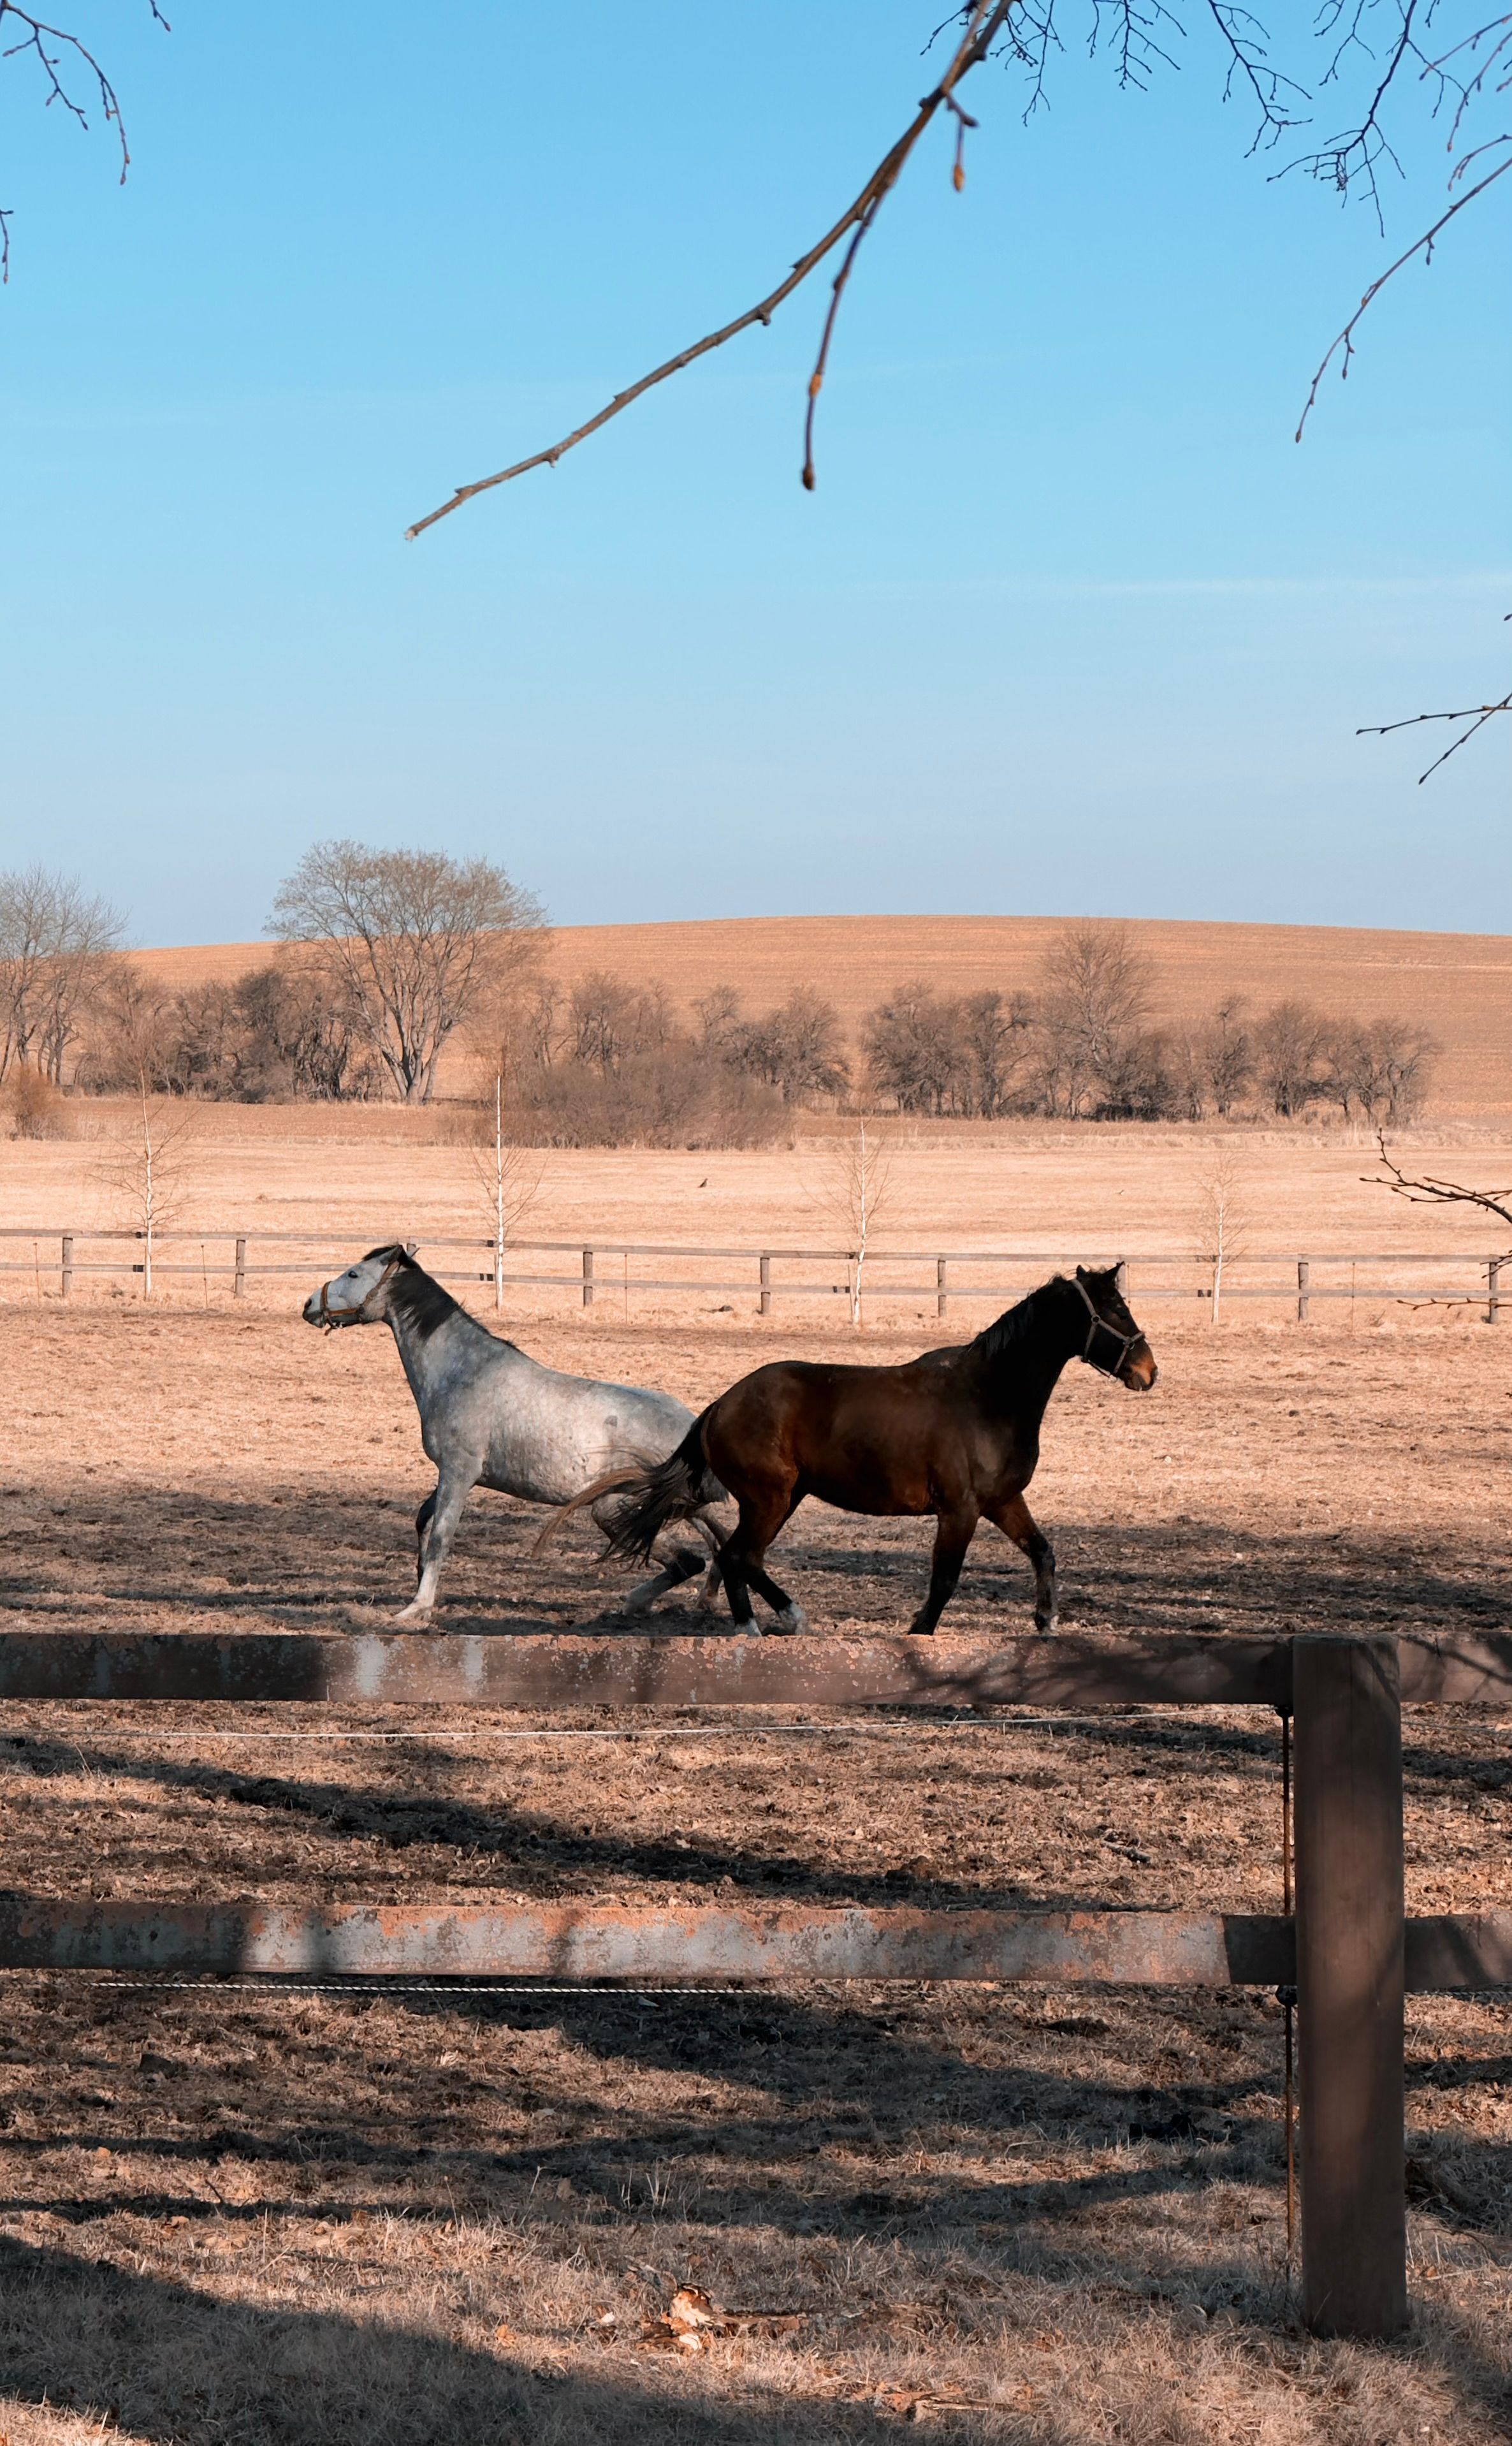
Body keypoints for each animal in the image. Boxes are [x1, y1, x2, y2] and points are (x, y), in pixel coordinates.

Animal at [302, 1243, 724, 1620]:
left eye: (353, 1274)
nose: (308, 1306)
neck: (464, 1372)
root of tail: (695, 1427)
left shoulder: (459, 1473)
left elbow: (440, 1537)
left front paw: (417, 1609)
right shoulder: (451, 1475)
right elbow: (423, 1522)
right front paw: (421, 1589)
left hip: (615, 1507)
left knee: (692, 1559)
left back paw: (642, 1602)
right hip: (682, 1508)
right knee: (717, 1548)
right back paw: (699, 1603)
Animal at [550, 1266, 1156, 1637]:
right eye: (1113, 1310)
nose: (1149, 1371)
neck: (989, 1397)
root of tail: (720, 1405)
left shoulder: (1002, 1502)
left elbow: (1043, 1552)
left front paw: (1045, 1620)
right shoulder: (959, 1510)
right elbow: (945, 1580)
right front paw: (920, 1630)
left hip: (781, 1499)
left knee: (737, 1557)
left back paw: (755, 1623)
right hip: (770, 1499)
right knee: (741, 1556)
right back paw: (780, 1617)